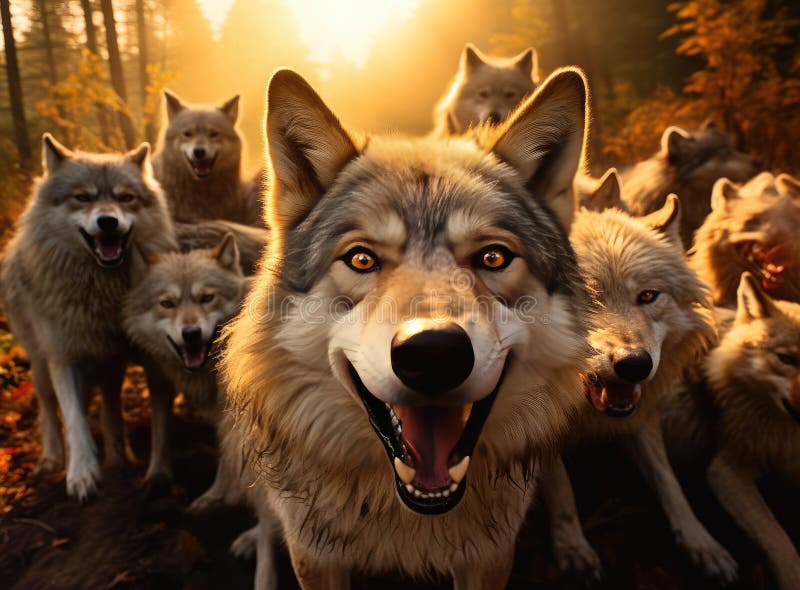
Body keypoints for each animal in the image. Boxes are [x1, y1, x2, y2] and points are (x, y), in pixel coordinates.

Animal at [0, 134, 175, 500]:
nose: (108, 221)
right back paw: (52, 459)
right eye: (82, 198)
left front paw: (135, 464)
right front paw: (81, 474)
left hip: (108, 367)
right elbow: (74, 419)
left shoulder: (129, 355)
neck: (99, 290)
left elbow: (133, 415)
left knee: (109, 407)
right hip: (40, 368)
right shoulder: (63, 357)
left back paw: (119, 456)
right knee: (48, 411)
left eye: (125, 198)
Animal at [122, 234, 250, 506]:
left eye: (207, 298)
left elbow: (226, 455)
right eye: (167, 303)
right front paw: (156, 480)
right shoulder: (160, 379)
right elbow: (159, 433)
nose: (191, 333)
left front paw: (215, 497)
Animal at [541, 183, 738, 583]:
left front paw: (702, 543)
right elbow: (559, 483)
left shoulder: (641, 413)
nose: (634, 365)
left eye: (647, 296)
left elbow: (668, 479)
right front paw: (572, 548)